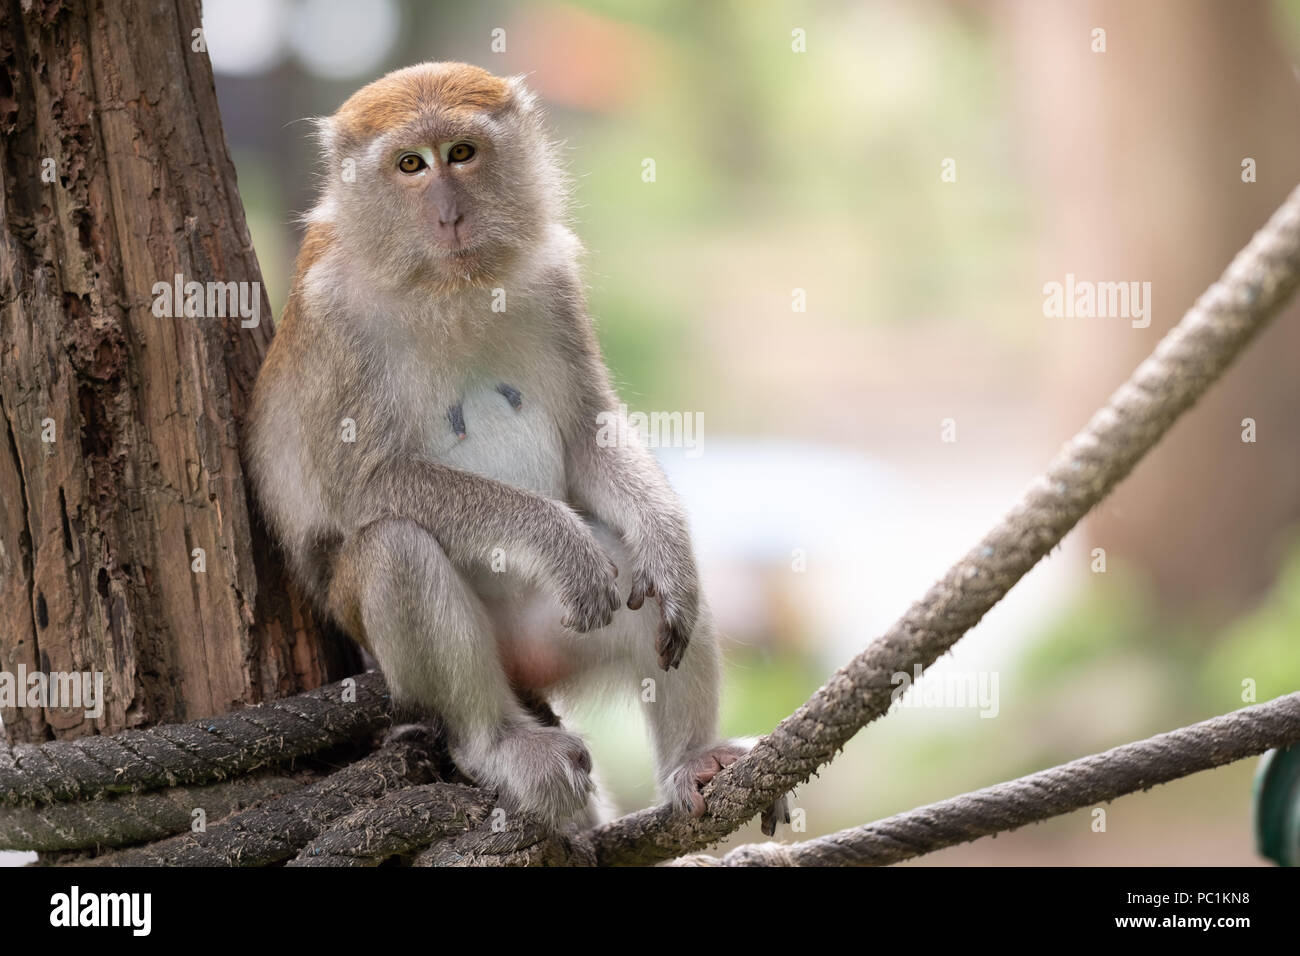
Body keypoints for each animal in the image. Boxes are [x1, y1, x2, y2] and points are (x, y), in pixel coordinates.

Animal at [246, 61, 788, 831]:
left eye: (461, 153)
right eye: (410, 165)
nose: (451, 216)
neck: (448, 287)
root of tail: (524, 673)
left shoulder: (554, 279)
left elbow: (589, 432)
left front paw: (665, 541)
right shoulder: (334, 323)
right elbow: (366, 487)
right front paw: (554, 537)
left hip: (559, 637)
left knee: (641, 582)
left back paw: (696, 755)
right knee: (395, 548)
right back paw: (500, 744)